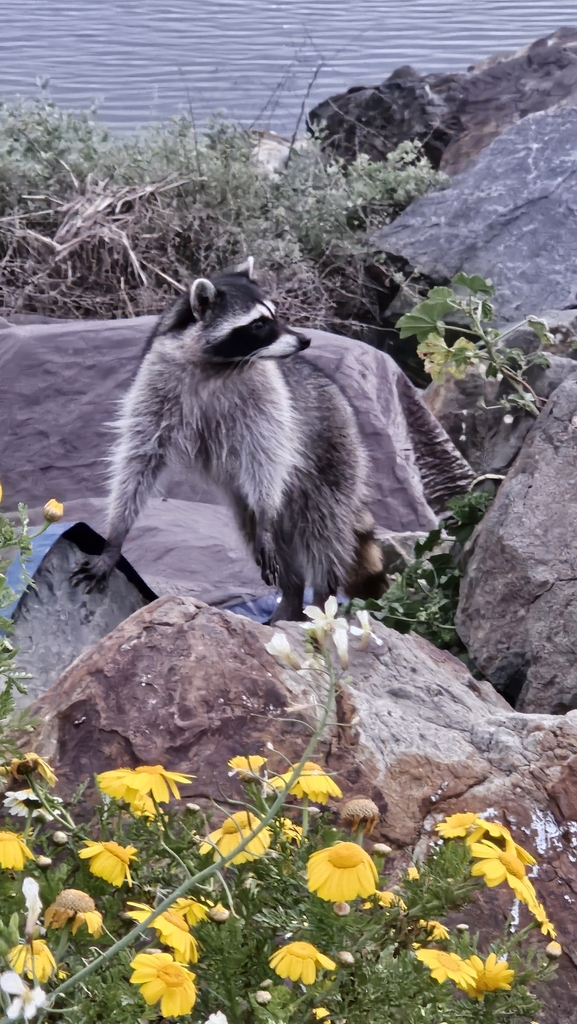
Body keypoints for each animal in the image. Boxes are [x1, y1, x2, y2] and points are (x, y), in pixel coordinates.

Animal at [73, 259, 385, 622]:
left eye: (275, 314)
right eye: (259, 324)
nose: (305, 339)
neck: (215, 365)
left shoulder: (266, 399)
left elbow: (266, 454)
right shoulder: (155, 385)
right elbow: (139, 460)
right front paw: (115, 538)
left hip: (331, 457)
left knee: (322, 531)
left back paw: (321, 598)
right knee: (267, 532)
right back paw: (292, 596)